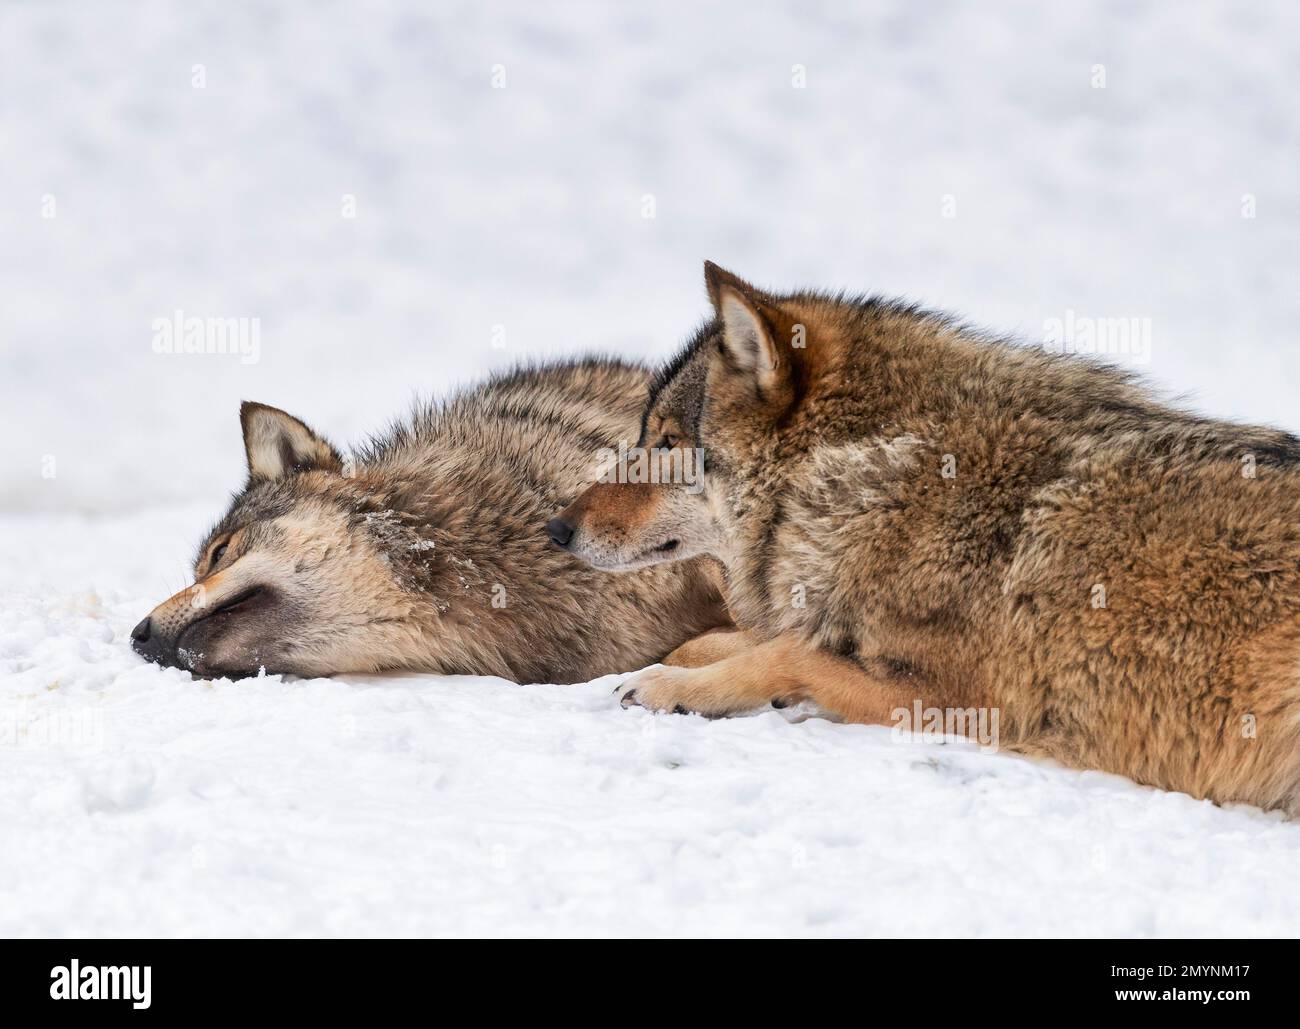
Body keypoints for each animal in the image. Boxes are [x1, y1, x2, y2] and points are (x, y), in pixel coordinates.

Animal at [551, 262, 1300, 814]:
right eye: (646, 438)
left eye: (666, 444)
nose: (558, 527)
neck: (872, 480)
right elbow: (741, 638)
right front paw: (690, 660)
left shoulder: (966, 698)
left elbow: (786, 653)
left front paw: (673, 686)